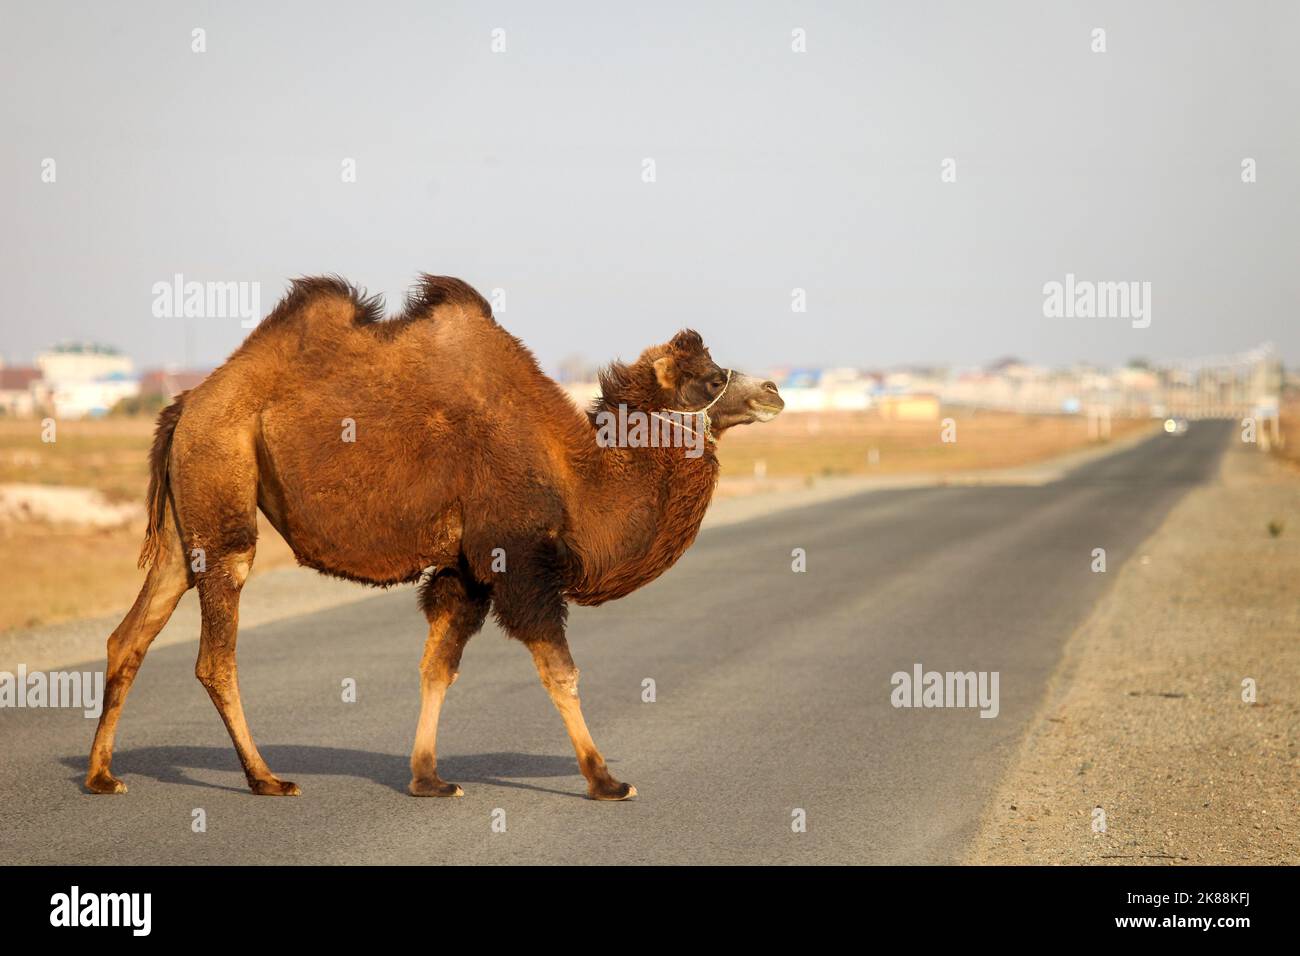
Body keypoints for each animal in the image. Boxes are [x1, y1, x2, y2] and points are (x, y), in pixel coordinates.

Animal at [85, 275, 783, 801]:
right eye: (709, 377)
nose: (774, 390)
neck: (575, 475)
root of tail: (183, 406)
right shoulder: (518, 560)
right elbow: (559, 670)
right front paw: (605, 780)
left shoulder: (465, 569)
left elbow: (437, 666)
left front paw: (427, 778)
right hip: (223, 480)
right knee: (216, 651)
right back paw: (266, 779)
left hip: (187, 521)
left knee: (132, 631)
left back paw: (101, 775)